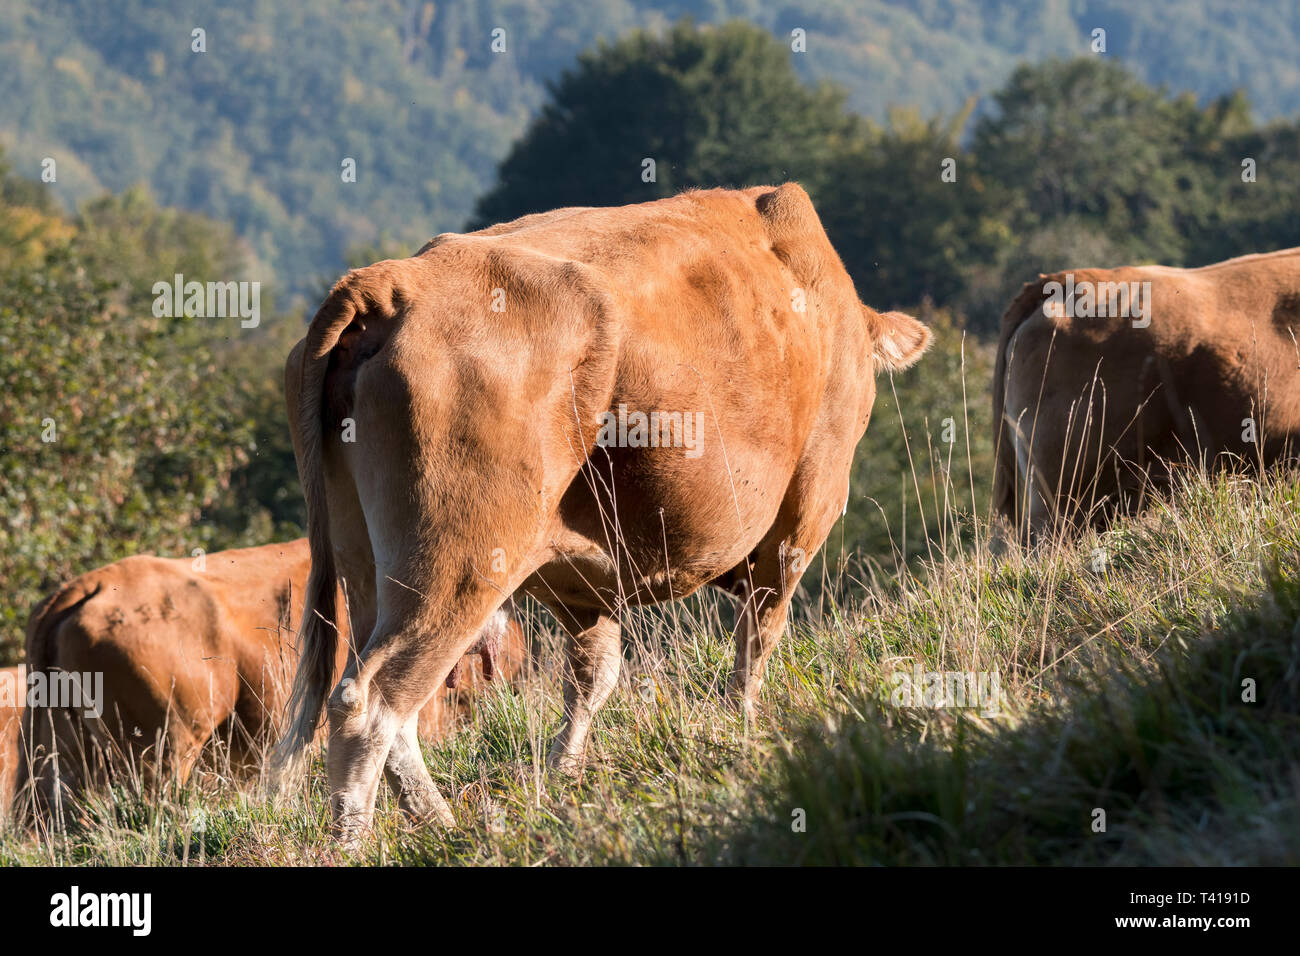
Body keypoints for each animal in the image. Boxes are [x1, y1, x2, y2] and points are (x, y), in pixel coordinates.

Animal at [272, 183, 931, 843]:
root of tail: (389, 282)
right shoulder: (799, 521)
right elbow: (755, 645)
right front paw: (744, 734)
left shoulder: (588, 583)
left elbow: (595, 676)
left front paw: (564, 776)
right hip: (458, 564)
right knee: (373, 701)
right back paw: (356, 840)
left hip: (364, 561)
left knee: (389, 701)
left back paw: (446, 826)